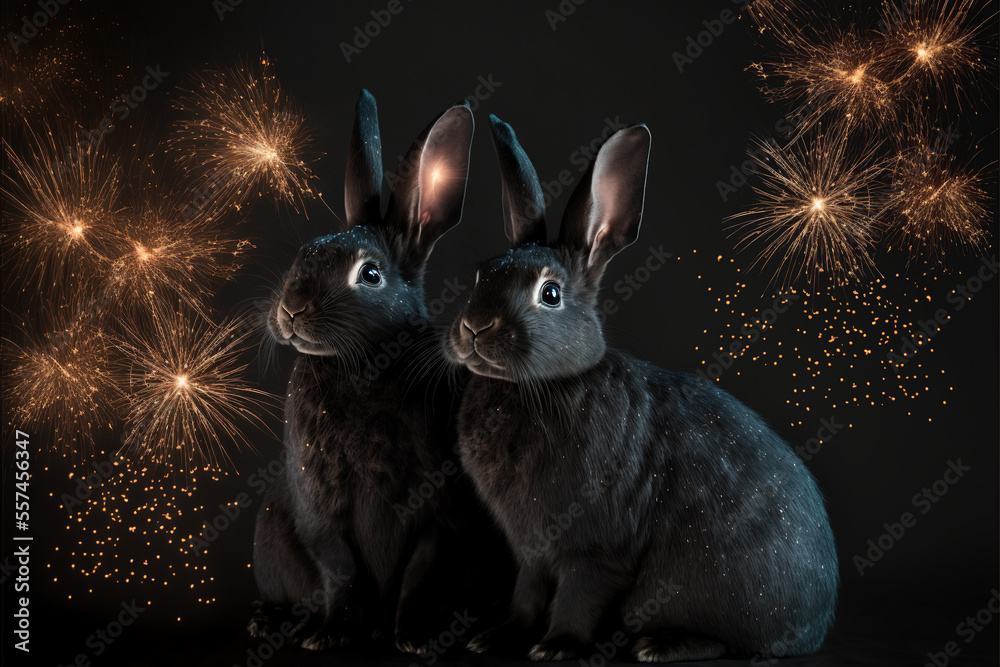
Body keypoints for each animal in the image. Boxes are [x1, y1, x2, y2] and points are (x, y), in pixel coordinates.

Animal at [249, 89, 495, 653]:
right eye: (304, 253)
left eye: (370, 273)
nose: (290, 311)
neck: (363, 365)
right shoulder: (321, 510)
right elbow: (340, 571)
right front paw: (331, 636)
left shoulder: (439, 515)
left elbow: (420, 575)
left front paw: (414, 638)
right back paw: (269, 623)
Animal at [444, 115, 839, 663]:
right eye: (483, 273)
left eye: (550, 293)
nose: (475, 328)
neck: (536, 386)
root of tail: (814, 627)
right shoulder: (531, 551)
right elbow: (526, 593)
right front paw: (496, 638)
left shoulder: (595, 547)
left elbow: (578, 597)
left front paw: (557, 647)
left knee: (725, 641)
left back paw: (658, 646)